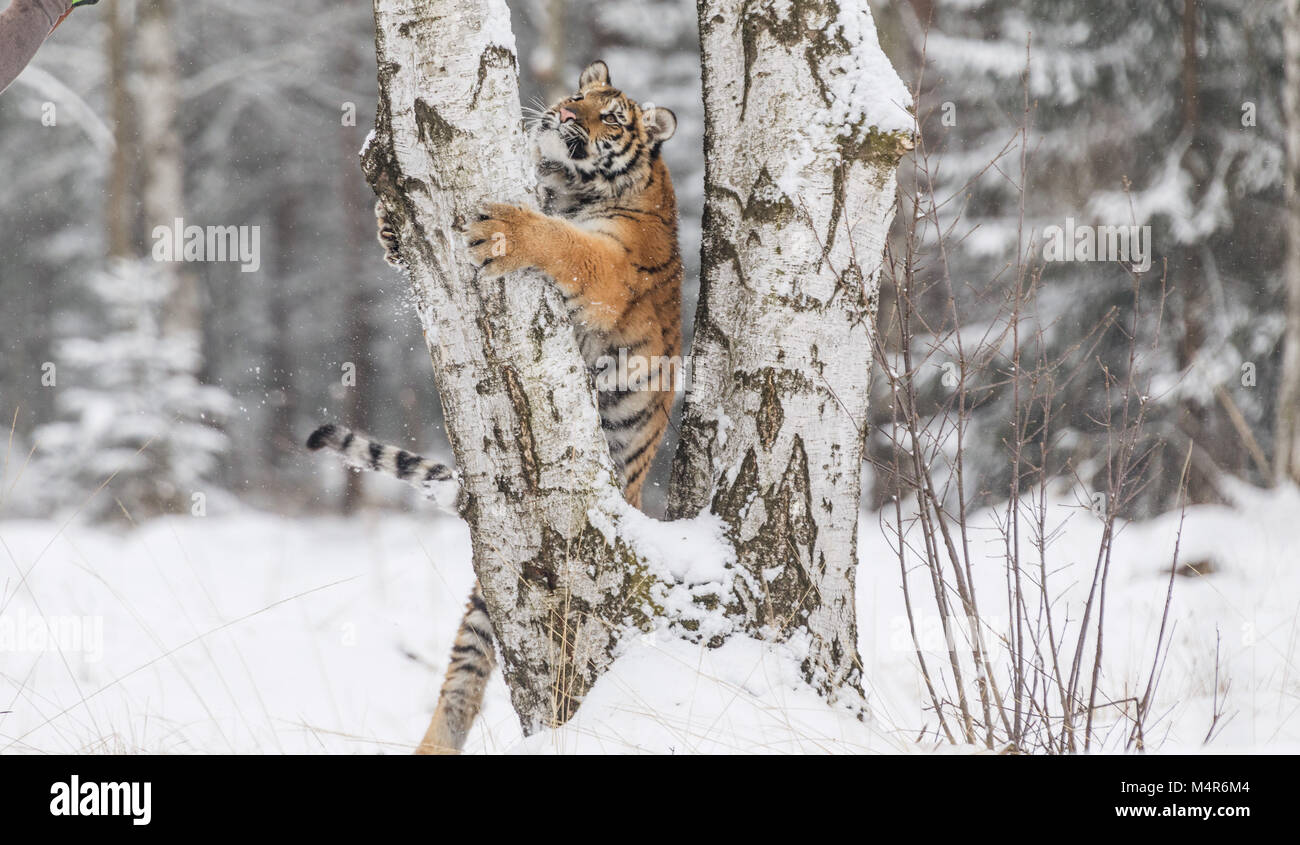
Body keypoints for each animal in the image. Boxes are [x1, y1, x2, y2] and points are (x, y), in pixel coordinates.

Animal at [309, 60, 682, 754]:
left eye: (609, 115)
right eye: (579, 94)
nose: (562, 113)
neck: (571, 185)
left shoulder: (611, 269)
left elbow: (566, 243)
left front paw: (507, 231)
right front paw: (388, 227)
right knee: (460, 678)